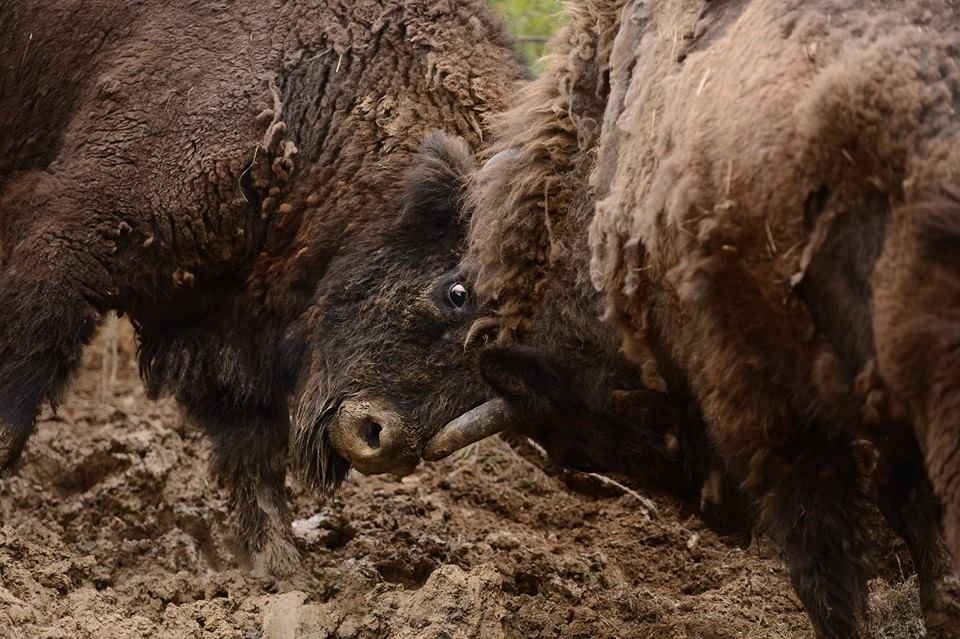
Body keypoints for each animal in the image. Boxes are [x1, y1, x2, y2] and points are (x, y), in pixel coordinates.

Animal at [0, 0, 525, 576]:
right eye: (457, 292)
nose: (379, 440)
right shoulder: (68, 243)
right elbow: (18, 388)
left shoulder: (226, 320)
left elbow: (252, 448)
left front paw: (284, 569)